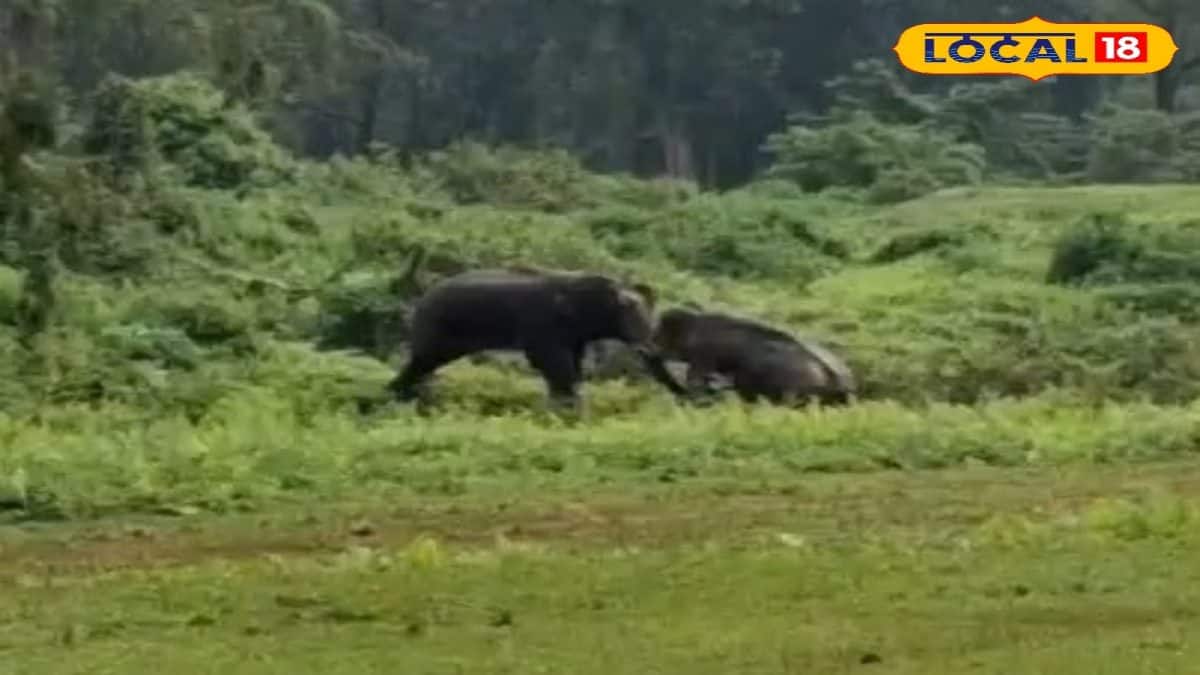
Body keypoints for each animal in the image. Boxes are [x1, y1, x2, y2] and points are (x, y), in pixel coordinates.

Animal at [387, 267, 687, 409]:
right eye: (626, 313)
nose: (686, 398)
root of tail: (421, 297)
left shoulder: (573, 332)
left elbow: (572, 366)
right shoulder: (543, 324)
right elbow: (553, 364)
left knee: (425, 365)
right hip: (437, 326)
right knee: (422, 361)